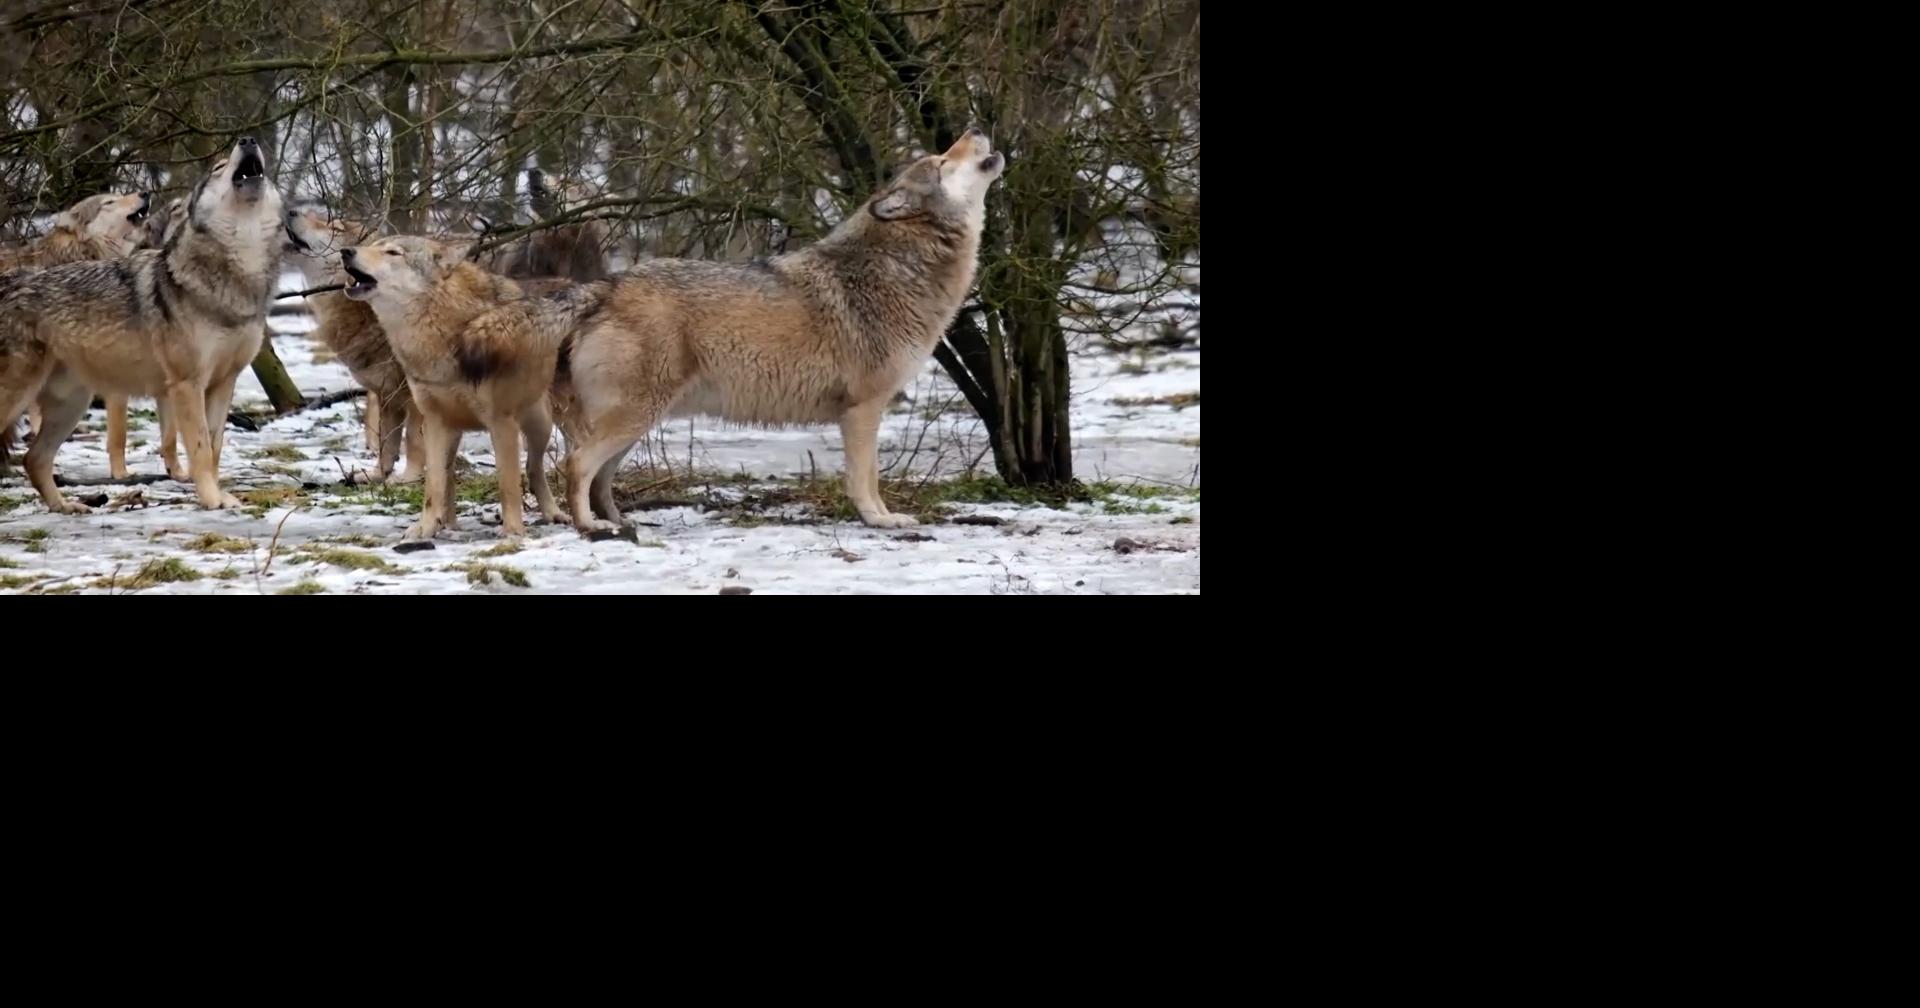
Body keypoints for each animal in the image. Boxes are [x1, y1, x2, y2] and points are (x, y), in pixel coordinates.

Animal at [0, 137, 284, 512]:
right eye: (218, 169)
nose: (248, 140)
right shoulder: (186, 384)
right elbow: (199, 449)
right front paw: (211, 500)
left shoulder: (224, 384)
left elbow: (214, 448)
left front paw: (223, 498)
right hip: (22, 398)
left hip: (71, 403)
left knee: (34, 459)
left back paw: (66, 507)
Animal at [554, 127, 1003, 531]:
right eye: (943, 162)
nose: (975, 128)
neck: (901, 266)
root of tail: (605, 287)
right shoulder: (863, 408)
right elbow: (866, 477)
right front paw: (878, 519)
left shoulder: (868, 409)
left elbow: (870, 475)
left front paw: (882, 516)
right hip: (634, 418)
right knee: (575, 463)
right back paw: (589, 526)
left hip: (638, 424)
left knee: (600, 478)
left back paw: (620, 524)